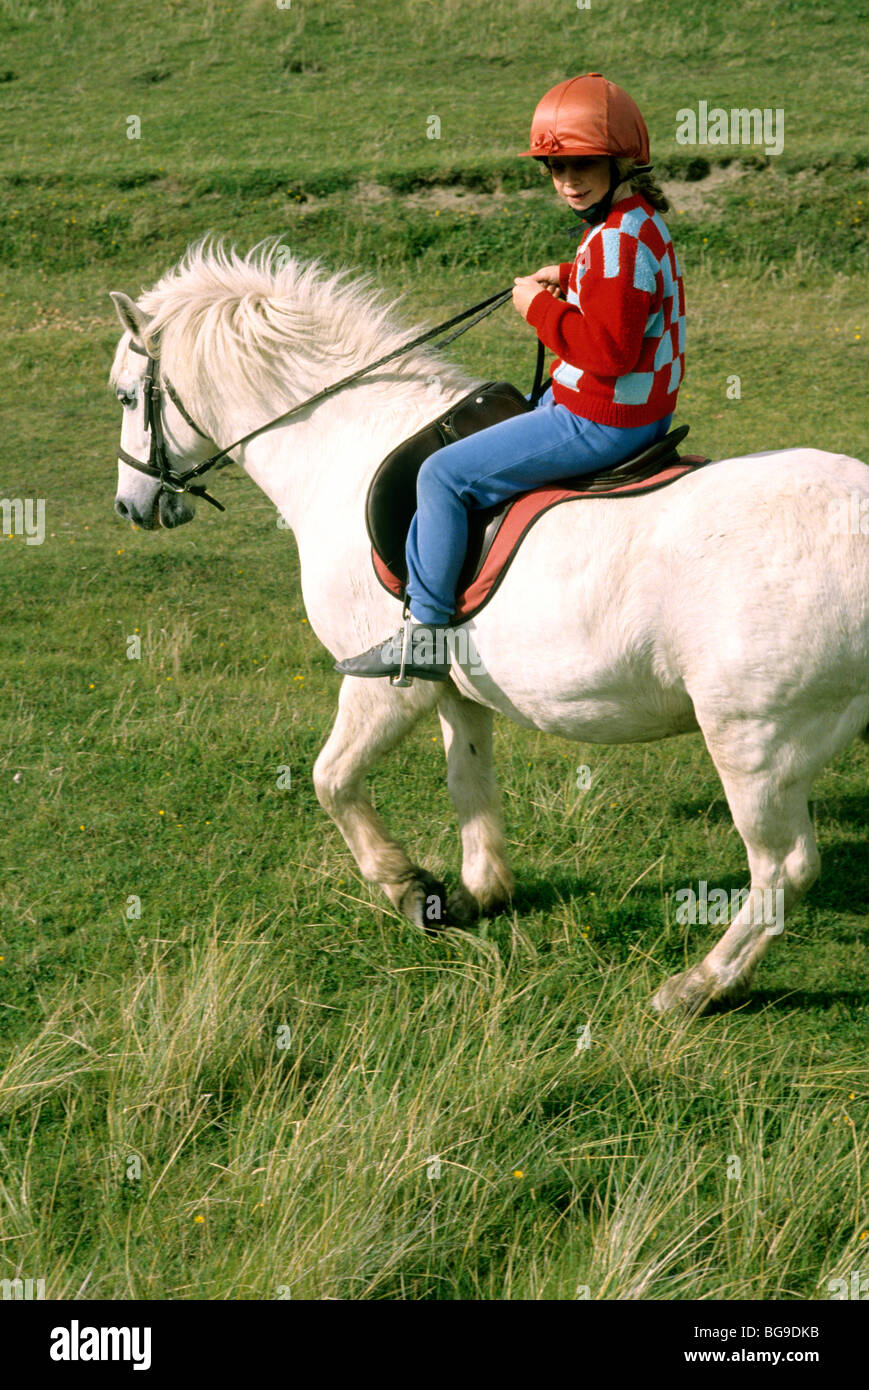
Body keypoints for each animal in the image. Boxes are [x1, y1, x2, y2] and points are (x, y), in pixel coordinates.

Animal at [108, 239, 869, 1015]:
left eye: (125, 396)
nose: (130, 504)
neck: (345, 449)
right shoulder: (453, 686)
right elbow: (467, 781)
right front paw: (480, 892)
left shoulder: (386, 683)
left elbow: (332, 780)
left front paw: (407, 887)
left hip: (753, 743)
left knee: (782, 868)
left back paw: (697, 986)